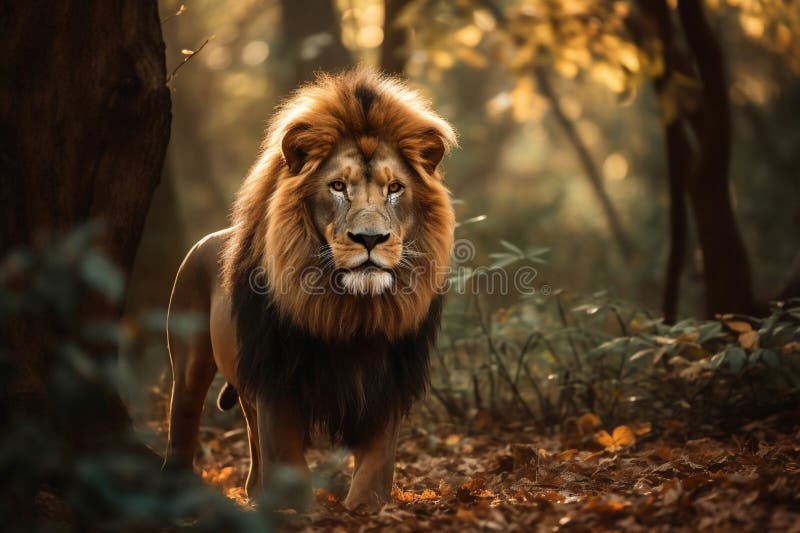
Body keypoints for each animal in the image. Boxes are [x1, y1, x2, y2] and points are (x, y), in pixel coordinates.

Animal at [164, 66, 456, 511]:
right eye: (337, 186)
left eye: (394, 188)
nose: (370, 238)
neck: (349, 311)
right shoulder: (278, 383)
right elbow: (289, 470)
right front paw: (299, 512)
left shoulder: (385, 390)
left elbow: (373, 474)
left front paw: (362, 511)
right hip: (190, 361)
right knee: (183, 420)